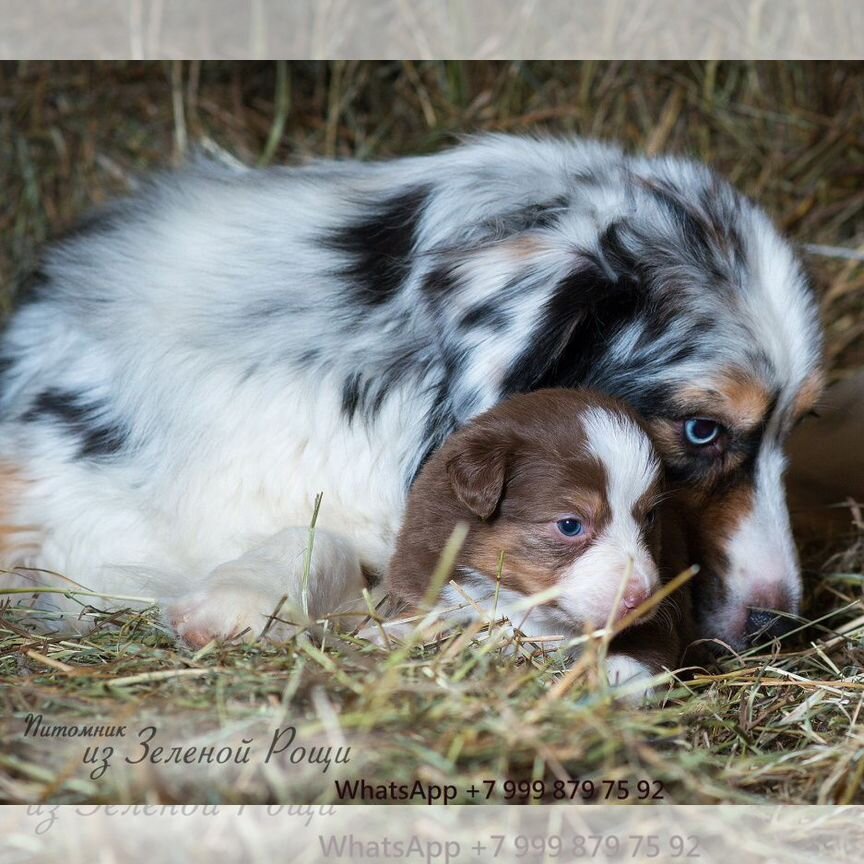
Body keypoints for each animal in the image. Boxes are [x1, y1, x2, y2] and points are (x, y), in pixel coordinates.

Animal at [384, 390, 688, 688]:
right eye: (570, 525)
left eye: (649, 517)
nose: (642, 598)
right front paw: (388, 634)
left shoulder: (665, 614)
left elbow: (639, 655)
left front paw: (614, 681)